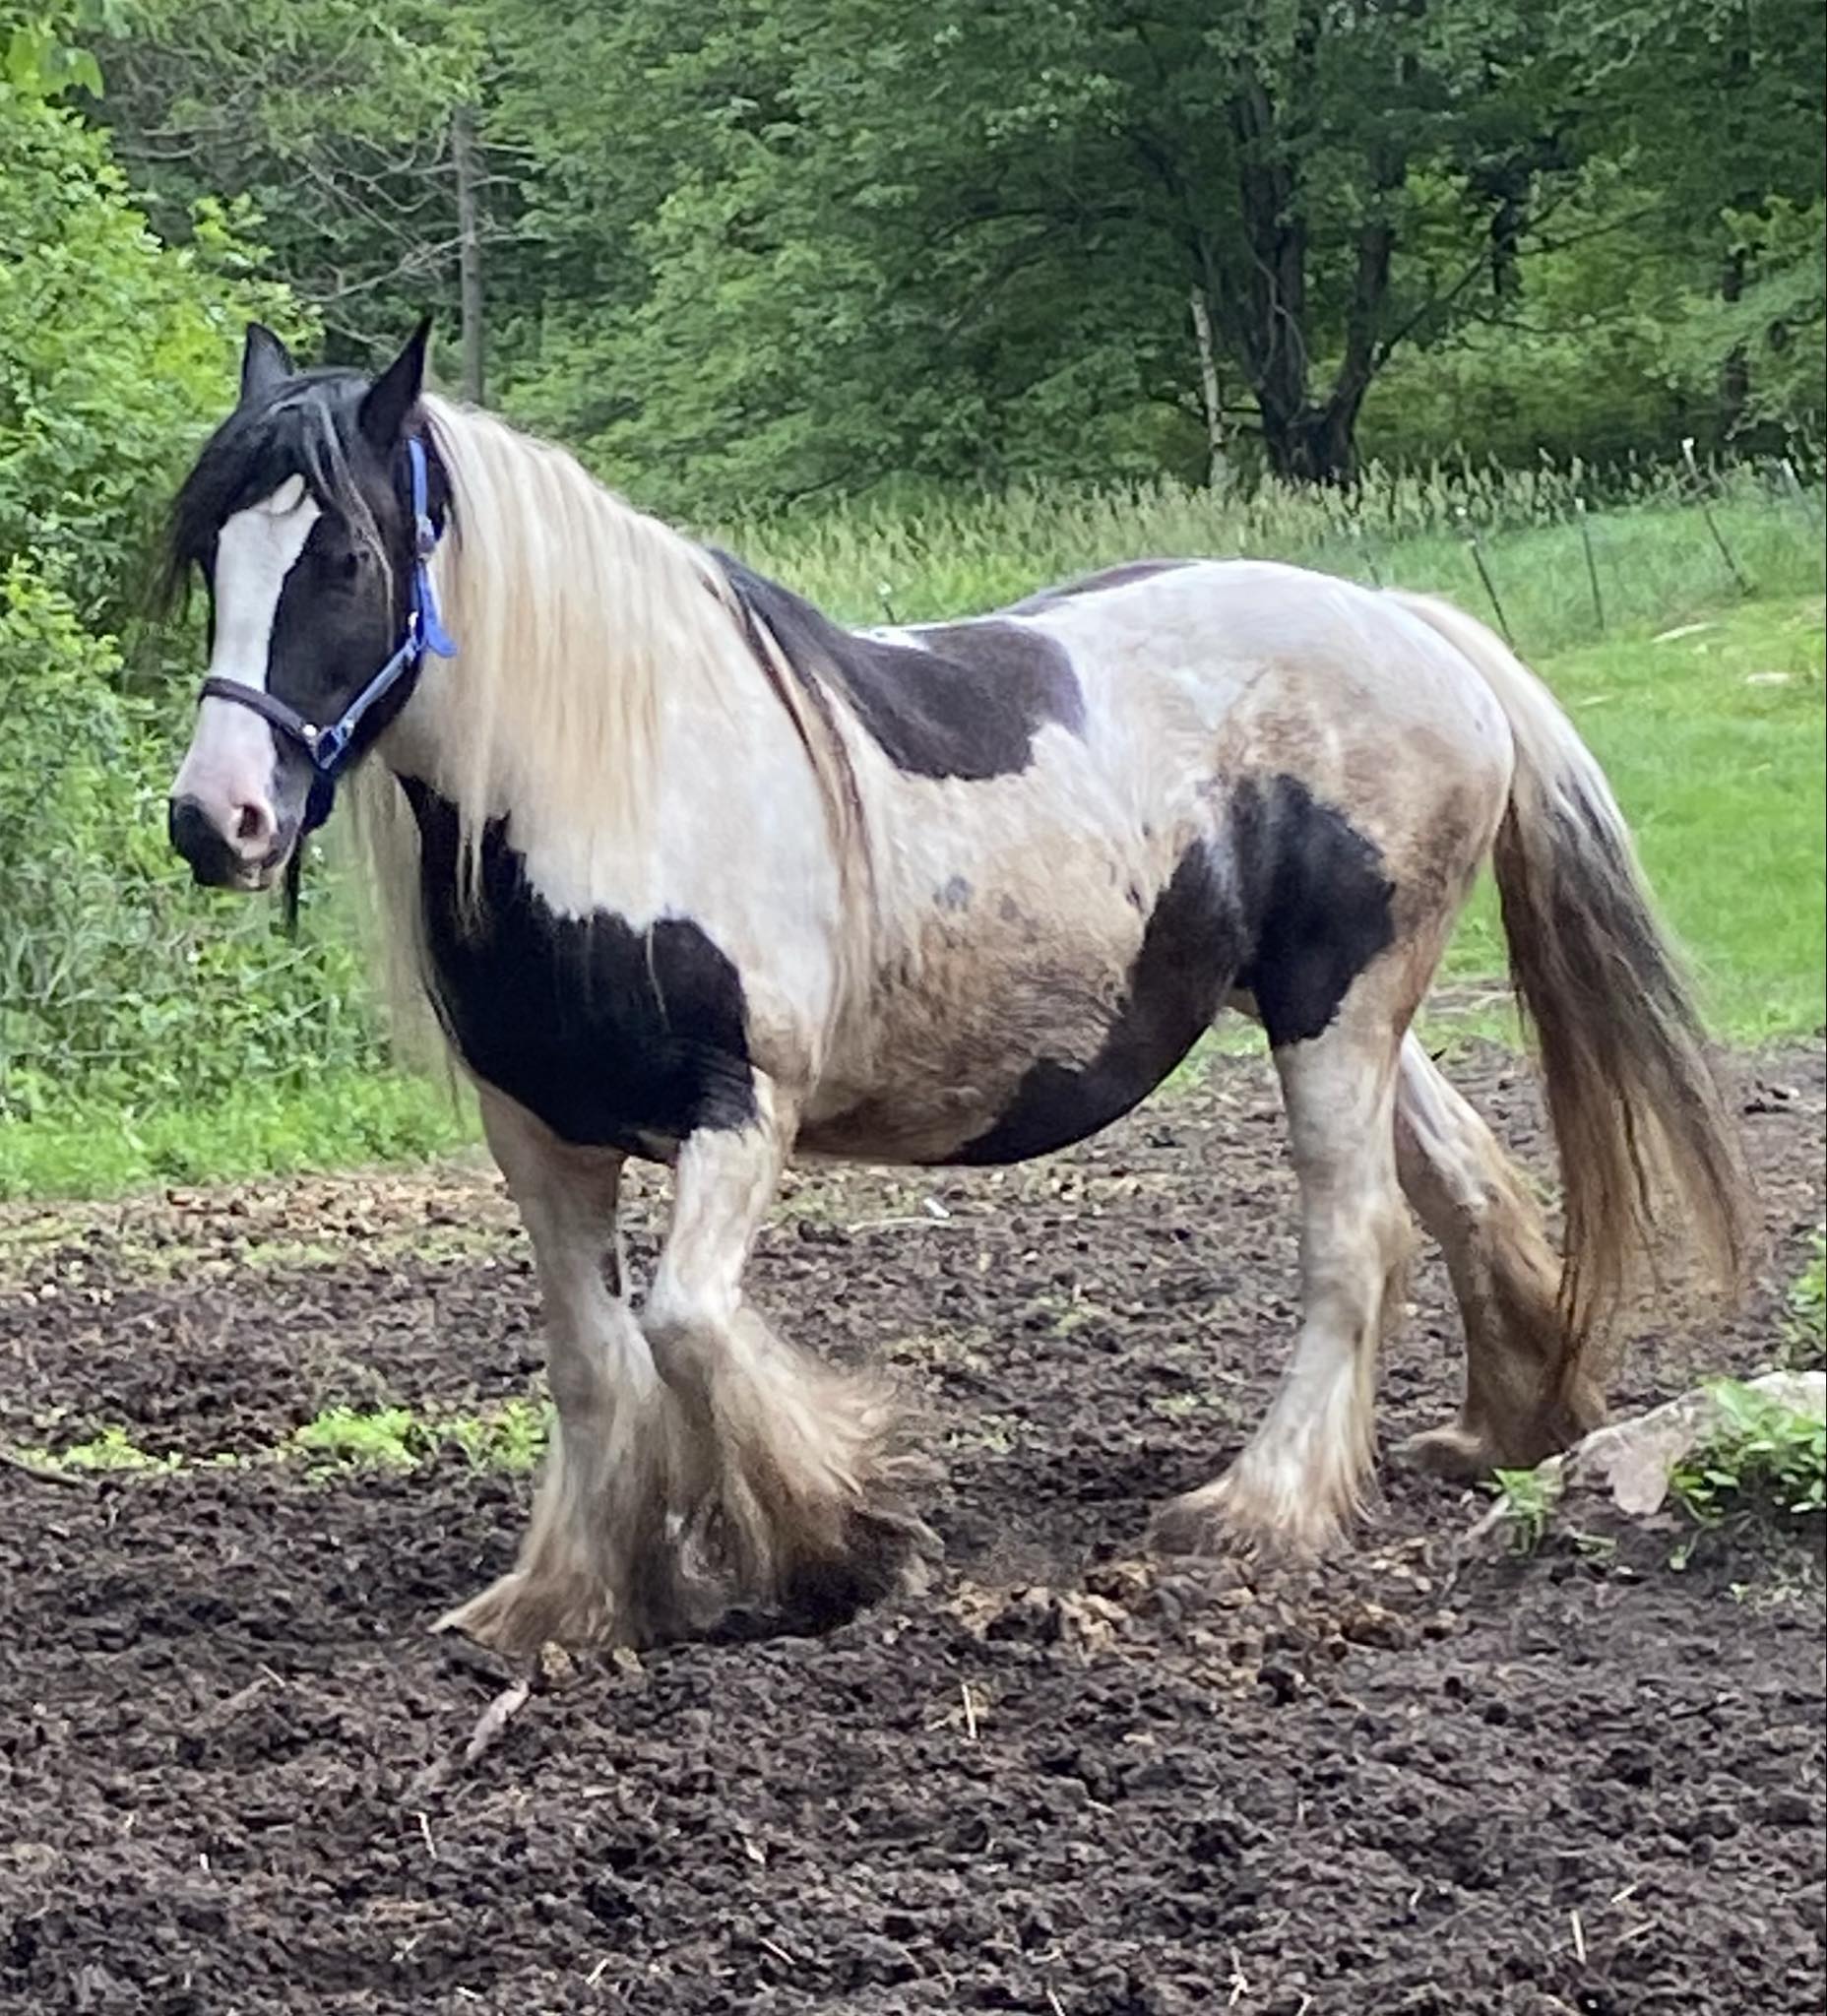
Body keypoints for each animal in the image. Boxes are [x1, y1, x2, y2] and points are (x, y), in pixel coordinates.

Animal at [162, 322, 1751, 1655]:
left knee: (1355, 1241)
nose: (214, 820)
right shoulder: (540, 1138)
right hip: (1337, 1010)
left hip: (1336, 1009)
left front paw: (840, 1541)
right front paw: (573, 1596)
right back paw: (1503, 1429)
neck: (618, 784)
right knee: (1464, 1182)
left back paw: (1260, 1508)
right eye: (212, 564)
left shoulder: (740, 1112)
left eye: (346, 560)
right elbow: (595, 1360)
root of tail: (1411, 625)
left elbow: (685, 1328)